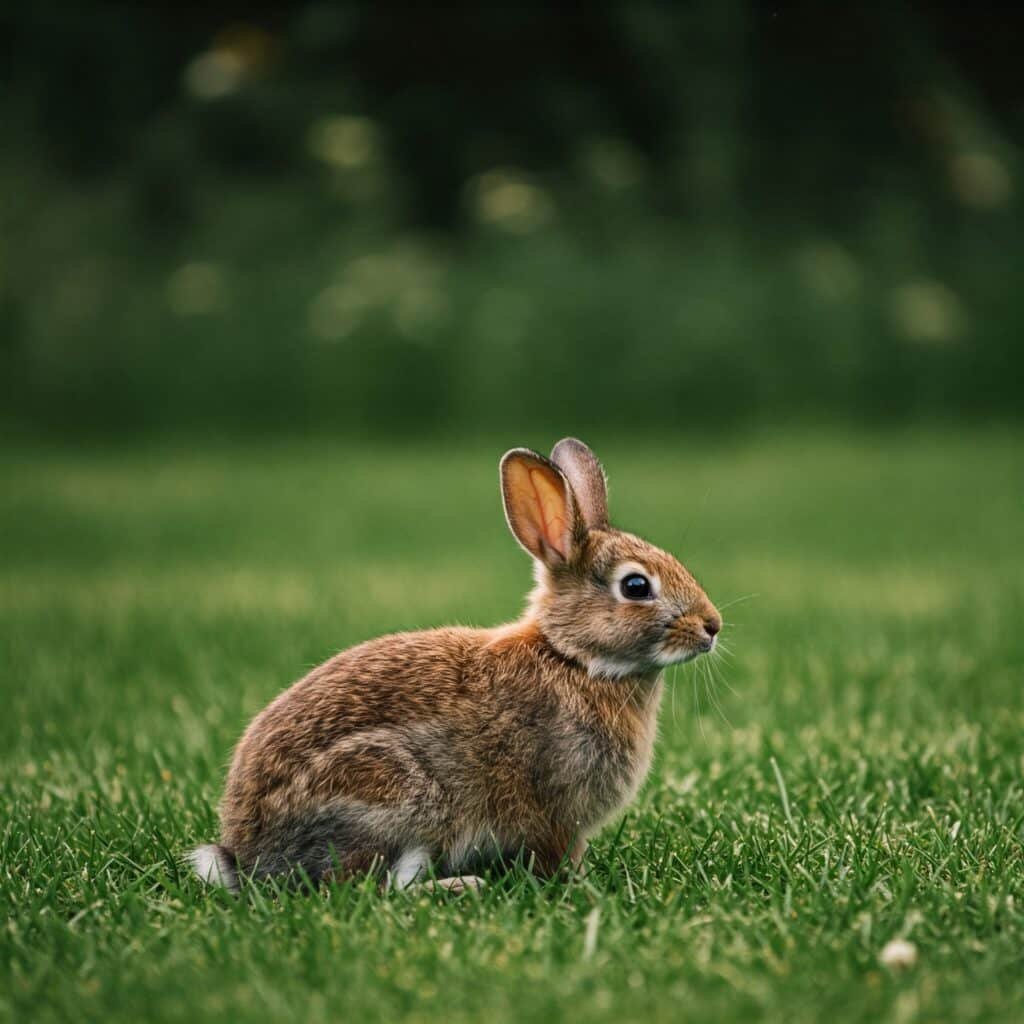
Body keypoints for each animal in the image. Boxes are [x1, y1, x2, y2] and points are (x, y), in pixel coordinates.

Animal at [191, 438, 721, 893]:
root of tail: (246, 857)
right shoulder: (553, 811)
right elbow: (557, 853)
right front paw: (580, 884)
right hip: (397, 796)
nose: (712, 626)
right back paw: (461, 885)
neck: (572, 657)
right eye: (636, 586)